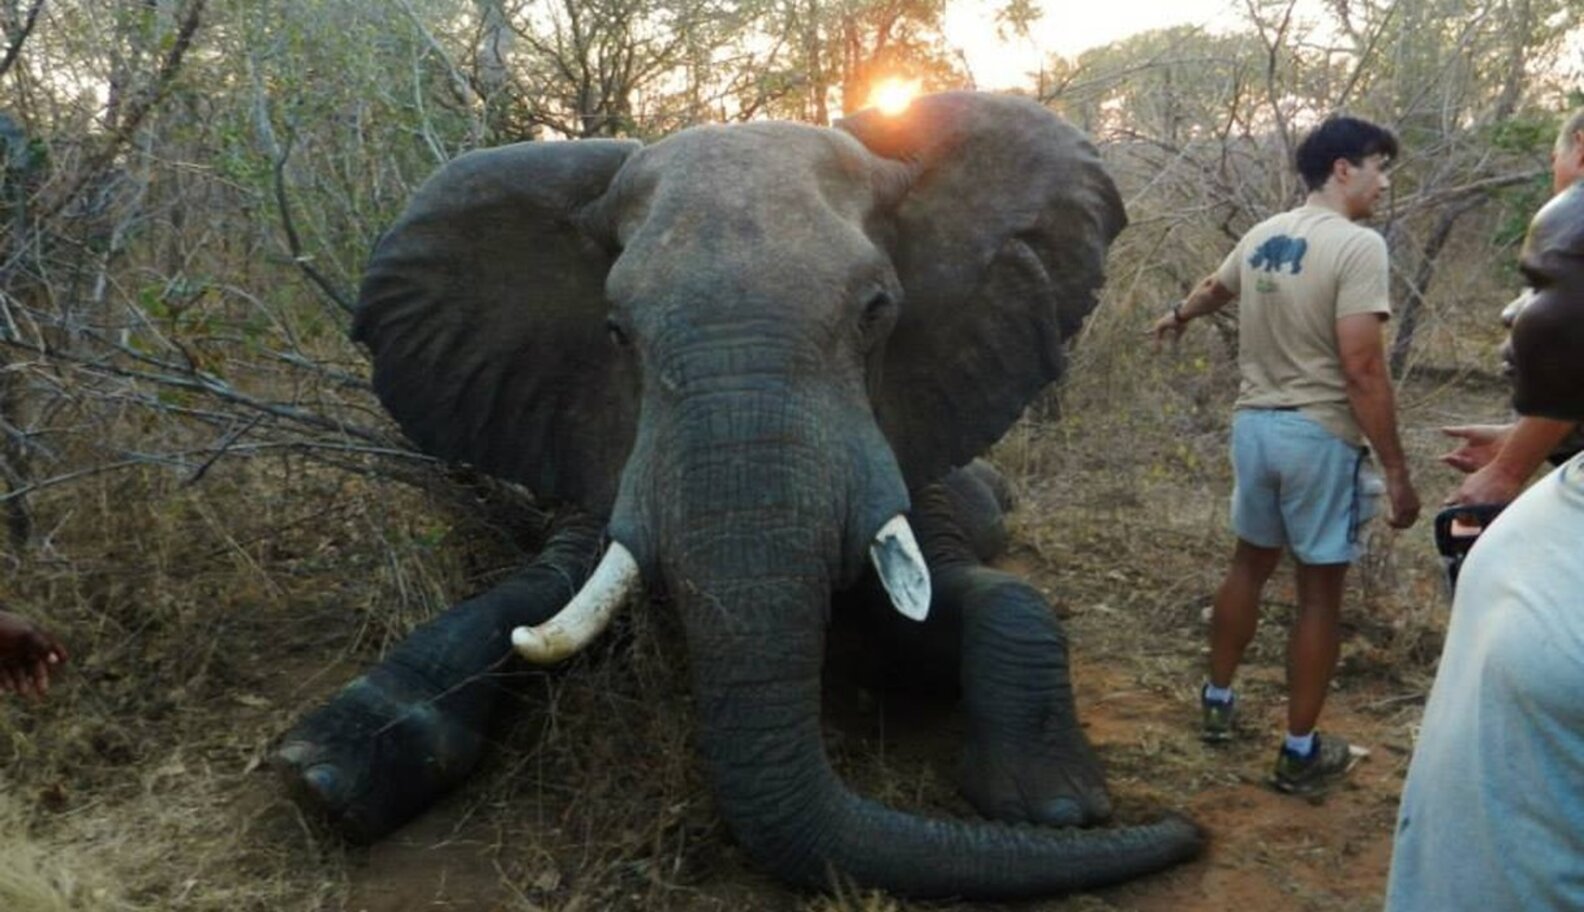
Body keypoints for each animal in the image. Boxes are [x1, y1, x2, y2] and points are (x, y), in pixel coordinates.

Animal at [273, 91, 1203, 900]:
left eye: (876, 312)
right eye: (615, 333)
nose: (1190, 836)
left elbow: (977, 607)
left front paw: (1056, 805)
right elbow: (524, 600)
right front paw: (322, 773)